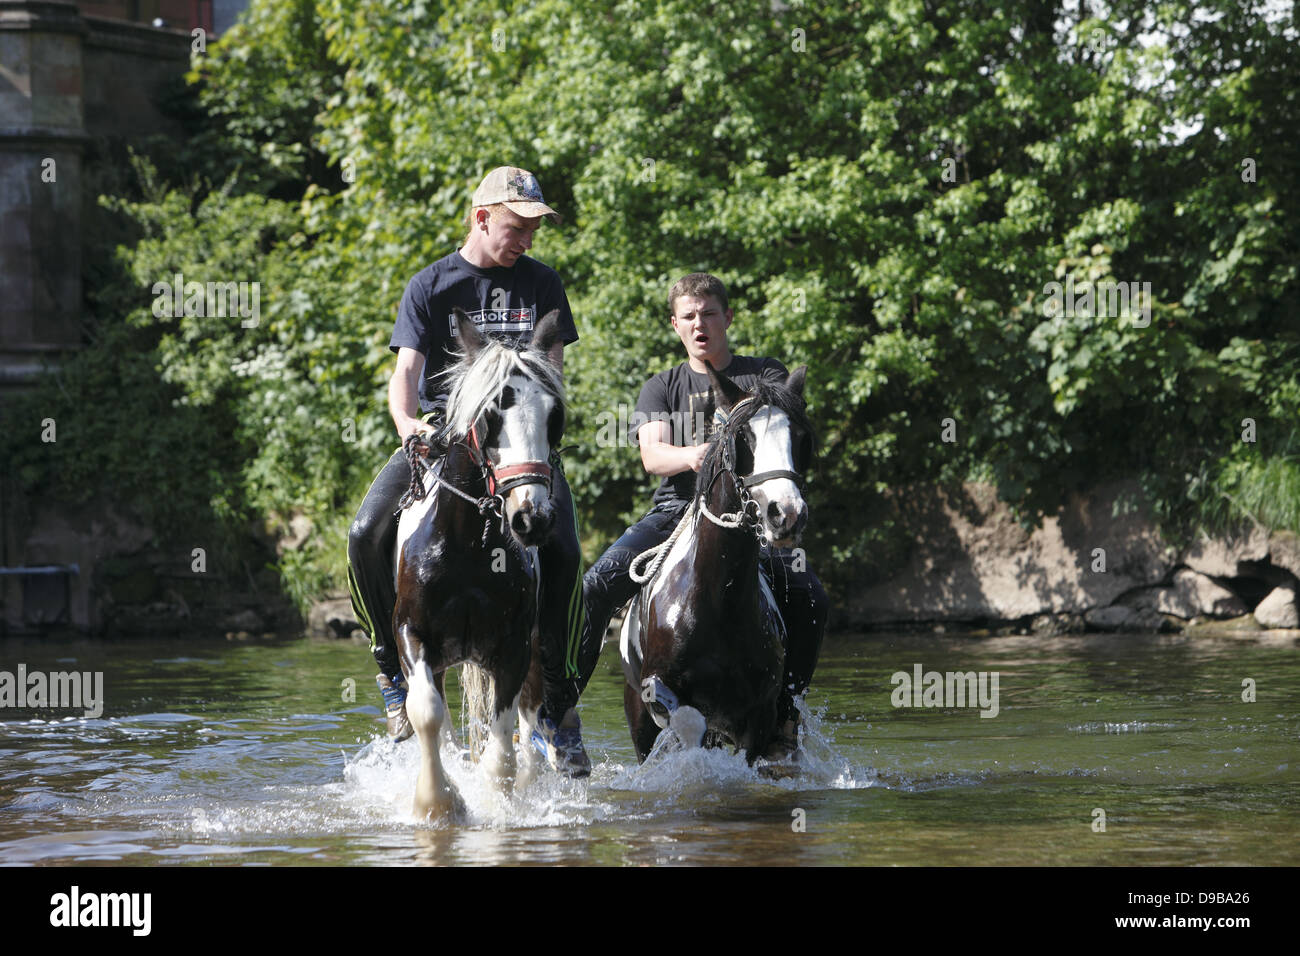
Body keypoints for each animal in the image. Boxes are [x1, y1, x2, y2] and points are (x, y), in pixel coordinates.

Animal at [619, 361, 813, 764]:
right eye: (742, 438)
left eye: (801, 438)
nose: (786, 514)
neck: (718, 597)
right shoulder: (656, 686)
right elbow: (689, 721)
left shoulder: (760, 713)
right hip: (636, 715)